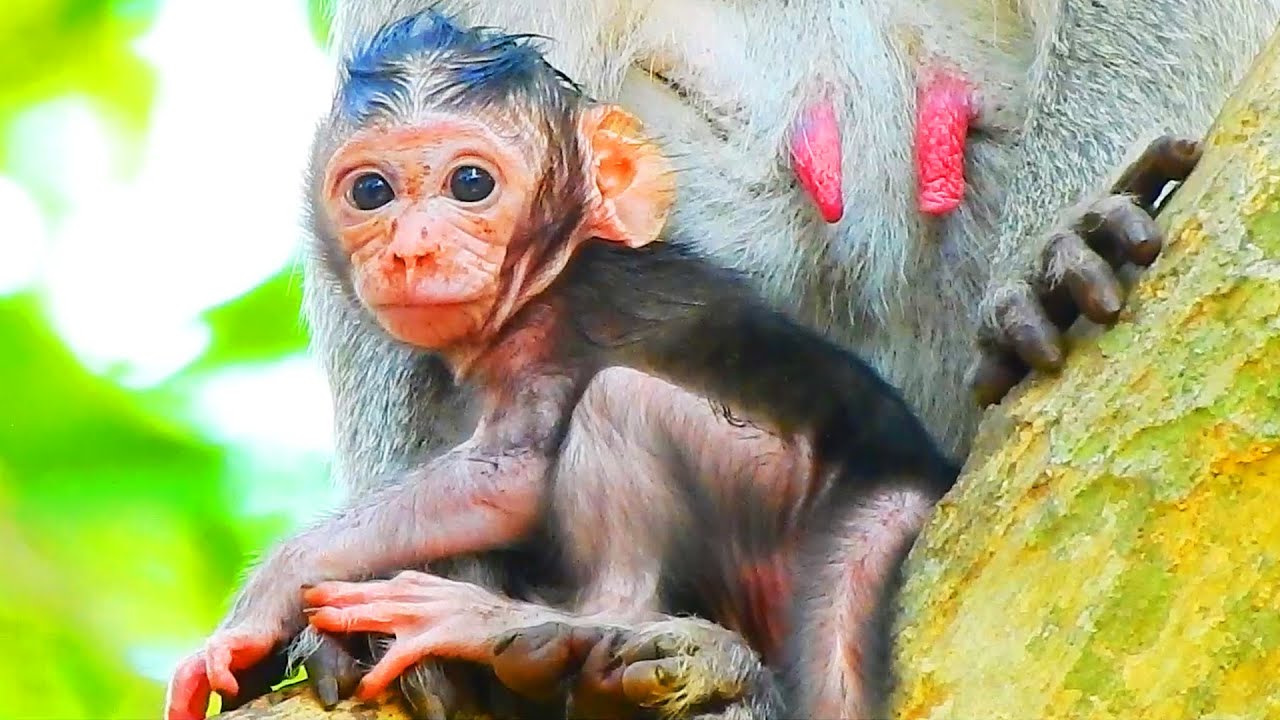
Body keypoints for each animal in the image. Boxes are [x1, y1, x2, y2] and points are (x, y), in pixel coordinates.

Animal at [162, 10, 967, 720]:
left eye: (471, 184)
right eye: (370, 192)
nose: (411, 250)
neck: (549, 272)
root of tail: (897, 478)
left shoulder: (549, 334)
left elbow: (508, 477)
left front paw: (266, 598)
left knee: (620, 401)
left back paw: (534, 628)